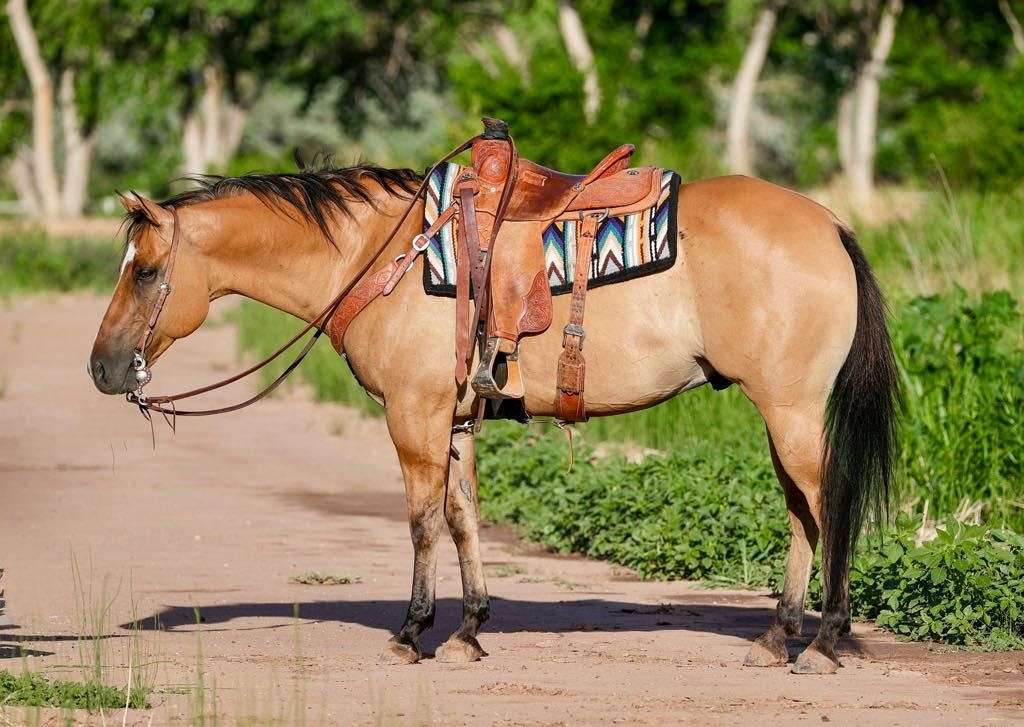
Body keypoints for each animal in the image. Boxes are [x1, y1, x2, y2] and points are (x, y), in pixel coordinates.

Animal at [88, 162, 899, 675]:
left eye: (147, 271)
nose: (102, 367)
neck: (381, 255)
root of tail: (830, 225)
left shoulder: (413, 415)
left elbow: (421, 520)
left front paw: (412, 631)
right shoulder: (452, 421)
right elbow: (463, 515)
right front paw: (470, 630)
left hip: (791, 411)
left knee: (827, 506)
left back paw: (824, 642)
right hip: (783, 416)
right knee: (801, 512)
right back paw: (777, 636)